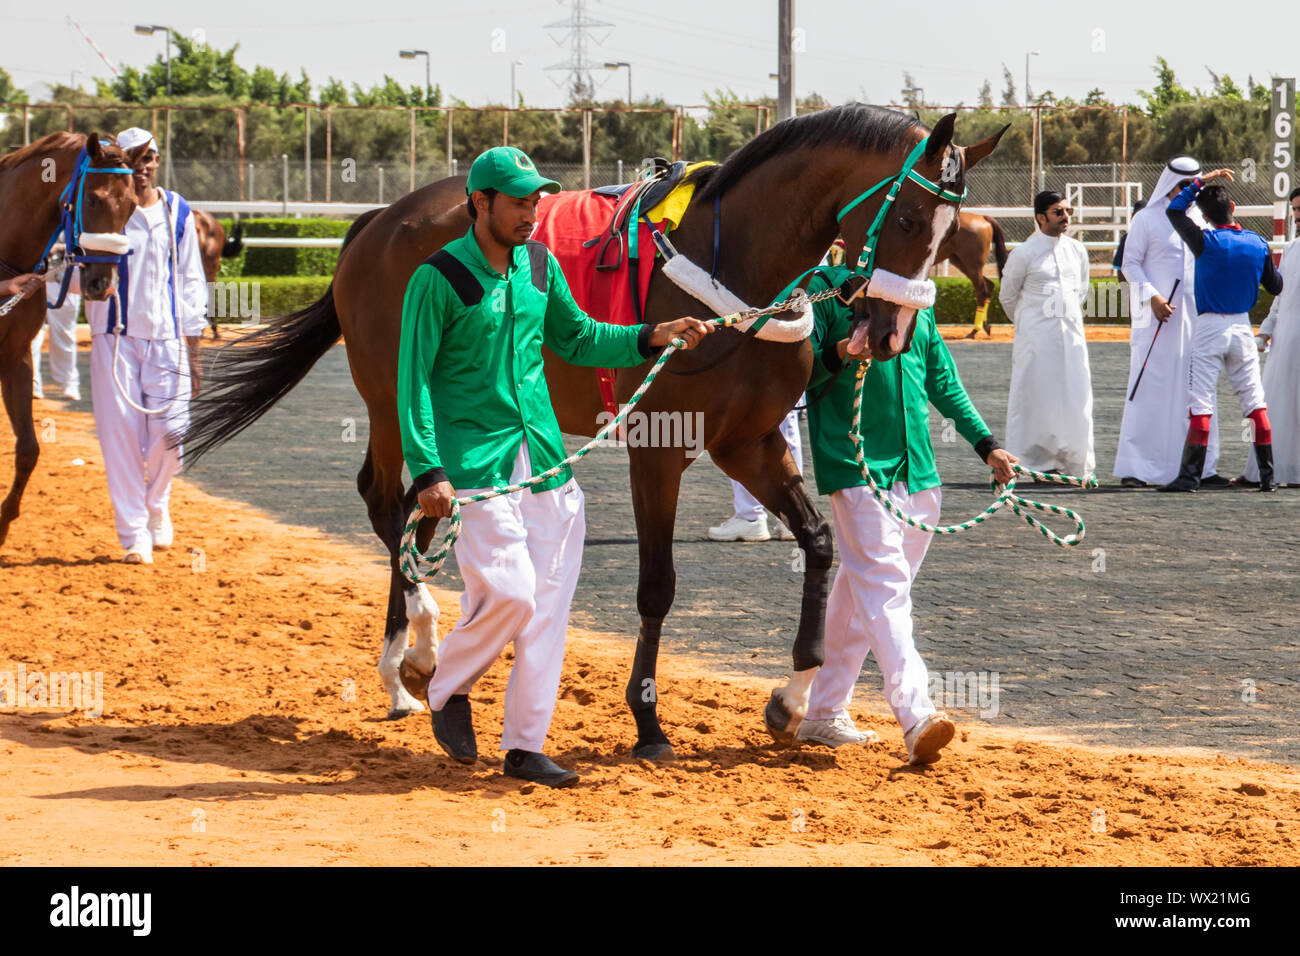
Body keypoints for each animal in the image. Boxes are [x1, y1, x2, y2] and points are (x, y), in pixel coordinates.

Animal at [0, 131, 138, 547]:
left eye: (132, 205)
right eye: (92, 198)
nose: (101, 284)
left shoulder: (15, 355)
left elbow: (28, 449)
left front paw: (3, 522)